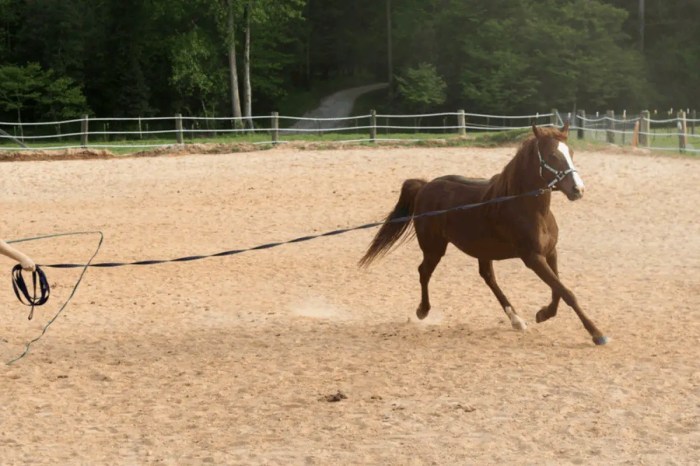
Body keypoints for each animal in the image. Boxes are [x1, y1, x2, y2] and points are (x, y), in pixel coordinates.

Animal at [360, 125, 608, 344]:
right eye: (552, 156)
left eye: (571, 153)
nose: (578, 190)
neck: (524, 206)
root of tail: (425, 186)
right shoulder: (532, 258)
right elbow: (566, 292)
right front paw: (597, 334)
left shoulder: (550, 252)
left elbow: (558, 290)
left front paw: (543, 314)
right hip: (434, 248)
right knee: (424, 272)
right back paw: (423, 311)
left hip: (480, 250)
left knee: (488, 277)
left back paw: (516, 320)